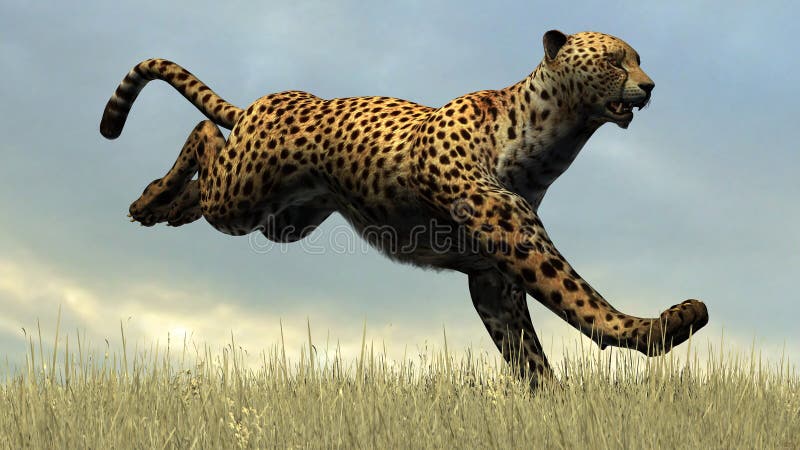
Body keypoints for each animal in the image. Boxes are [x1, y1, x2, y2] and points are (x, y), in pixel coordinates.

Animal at [100, 30, 708, 387]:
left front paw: (551, 404)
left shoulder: (492, 277)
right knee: (204, 134)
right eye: (615, 61)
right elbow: (580, 299)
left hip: (282, 220)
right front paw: (663, 326)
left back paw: (162, 207)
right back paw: (151, 196)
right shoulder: (511, 233)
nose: (650, 86)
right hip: (242, 194)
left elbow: (528, 349)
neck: (554, 135)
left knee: (205, 176)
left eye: (638, 61)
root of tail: (262, 100)